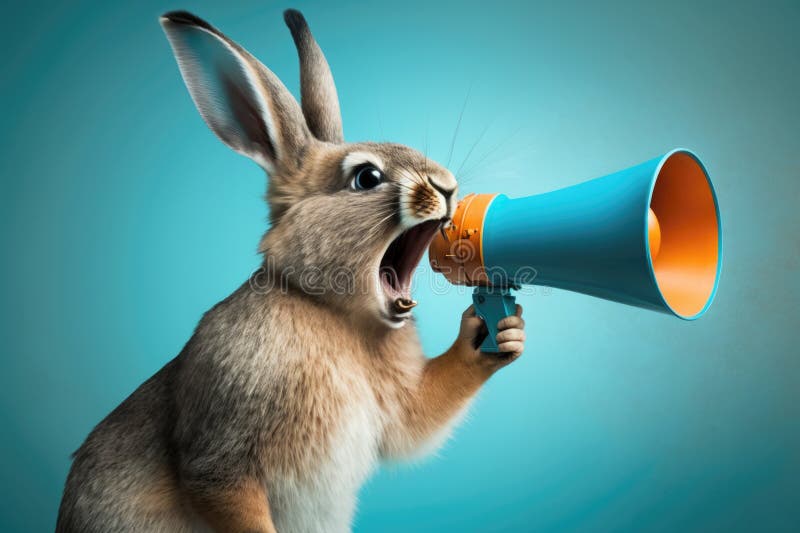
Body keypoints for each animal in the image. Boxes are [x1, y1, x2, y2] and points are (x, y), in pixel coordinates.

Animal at [56, 9, 526, 533]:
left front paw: (498, 335)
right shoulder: (222, 460)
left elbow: (418, 419)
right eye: (366, 177)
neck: (327, 310)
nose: (446, 187)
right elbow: (222, 489)